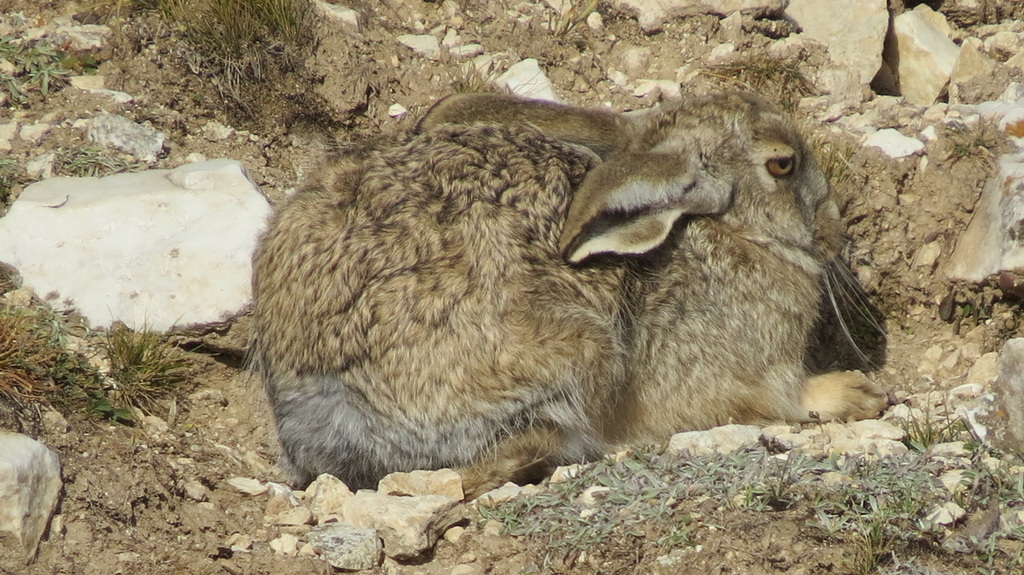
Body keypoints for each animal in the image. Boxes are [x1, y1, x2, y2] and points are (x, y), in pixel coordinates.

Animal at [249, 91, 887, 494]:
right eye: (782, 164)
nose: (835, 233)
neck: (725, 232)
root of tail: (313, 411)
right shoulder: (747, 376)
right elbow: (786, 399)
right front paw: (857, 394)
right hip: (573, 350)